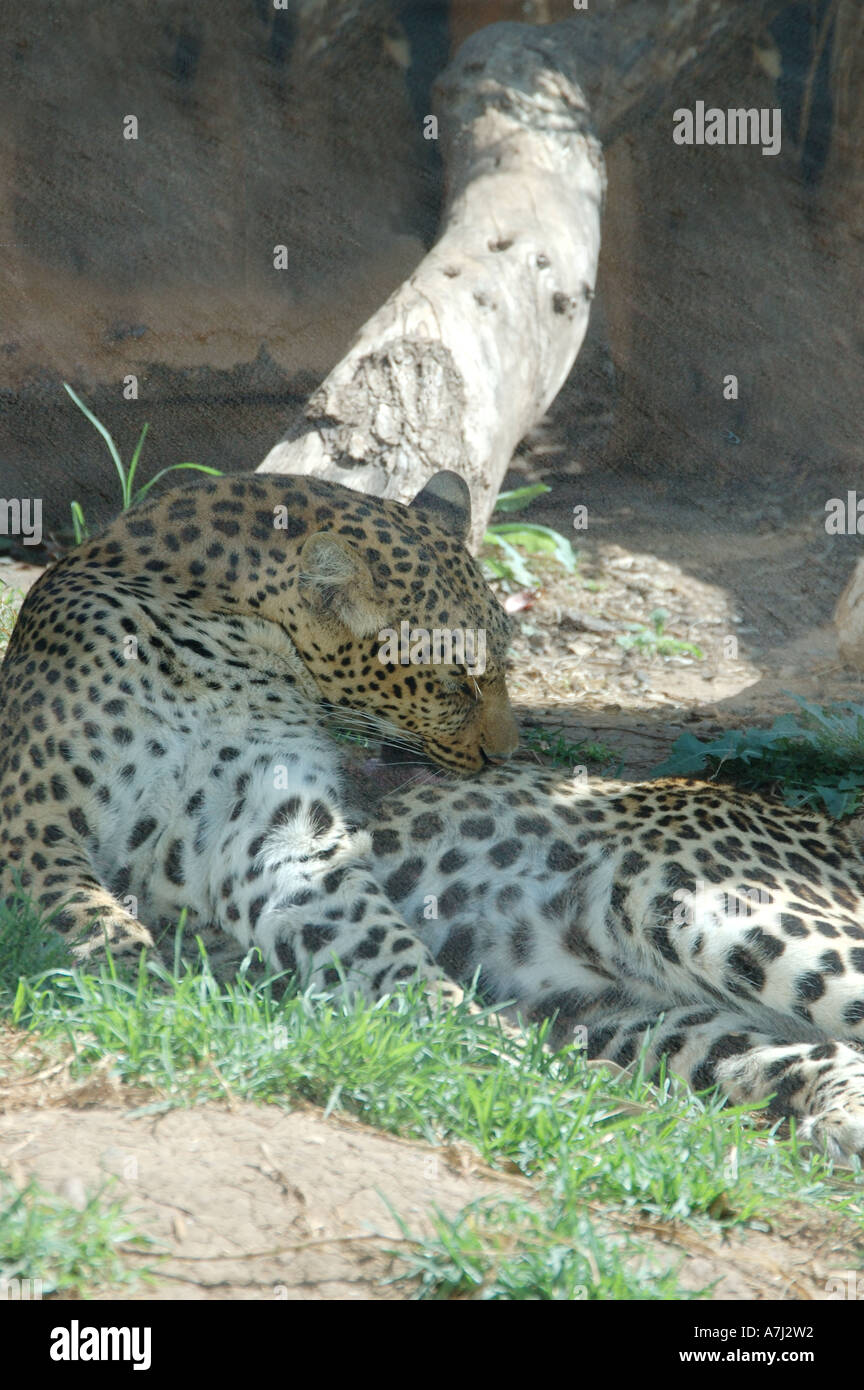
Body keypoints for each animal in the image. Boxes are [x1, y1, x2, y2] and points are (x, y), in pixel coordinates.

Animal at [4, 468, 864, 1159]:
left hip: (705, 904)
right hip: (638, 1016)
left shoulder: (273, 830)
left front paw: (473, 1040)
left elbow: (378, 939)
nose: (504, 758)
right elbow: (92, 918)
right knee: (812, 1054)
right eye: (453, 682)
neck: (229, 635)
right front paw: (146, 994)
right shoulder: (34, 825)